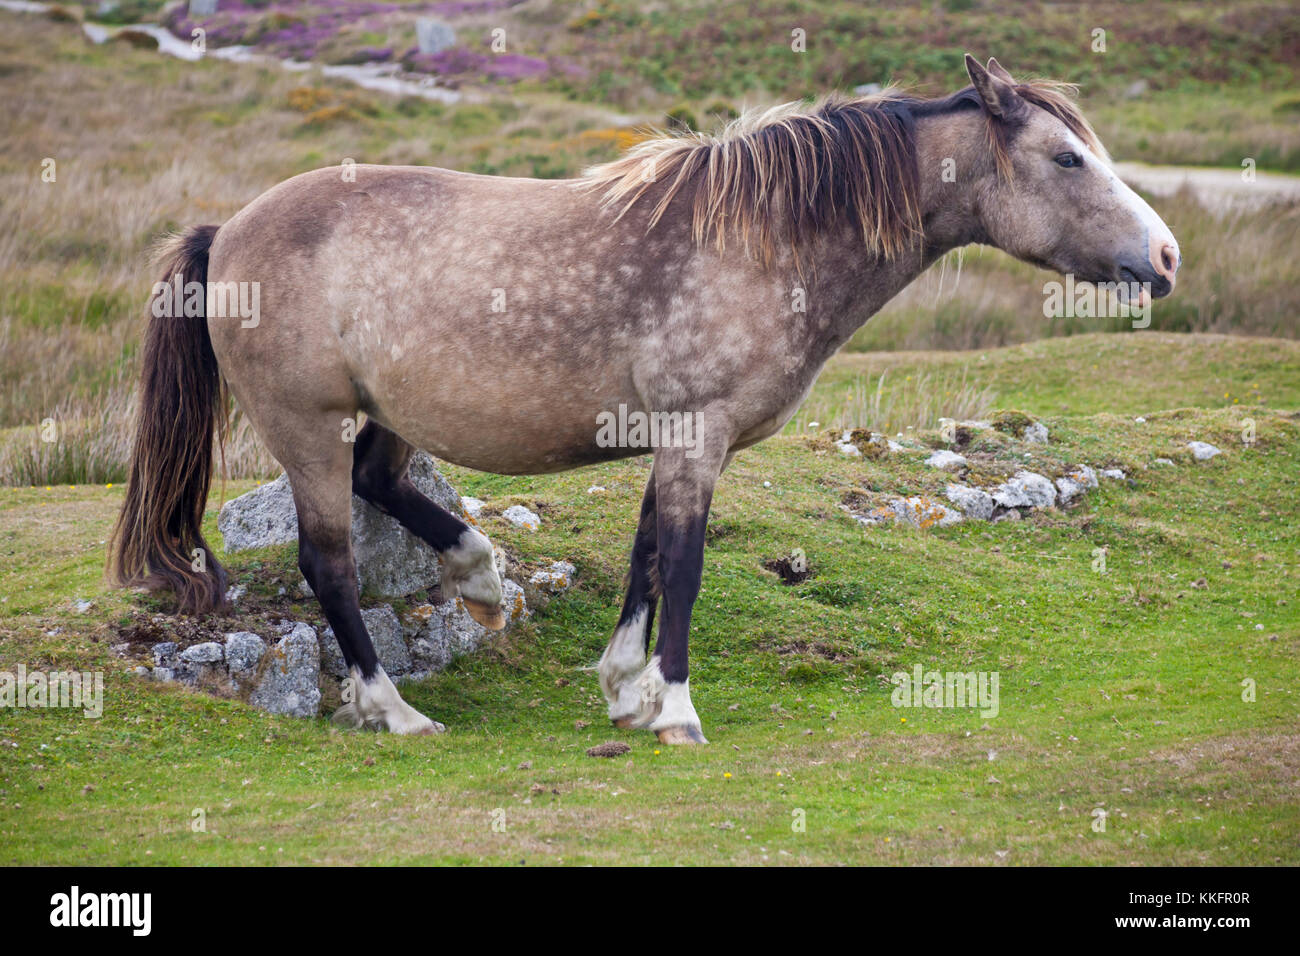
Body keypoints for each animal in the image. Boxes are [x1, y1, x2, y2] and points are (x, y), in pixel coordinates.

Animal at [109, 56, 1180, 743]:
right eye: (1068, 159)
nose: (1165, 257)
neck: (765, 242)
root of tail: (227, 230)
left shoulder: (676, 436)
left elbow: (646, 555)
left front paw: (625, 690)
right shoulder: (696, 435)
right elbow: (688, 566)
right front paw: (678, 710)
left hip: (384, 417)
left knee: (382, 484)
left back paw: (480, 576)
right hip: (308, 428)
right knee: (328, 564)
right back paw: (395, 709)